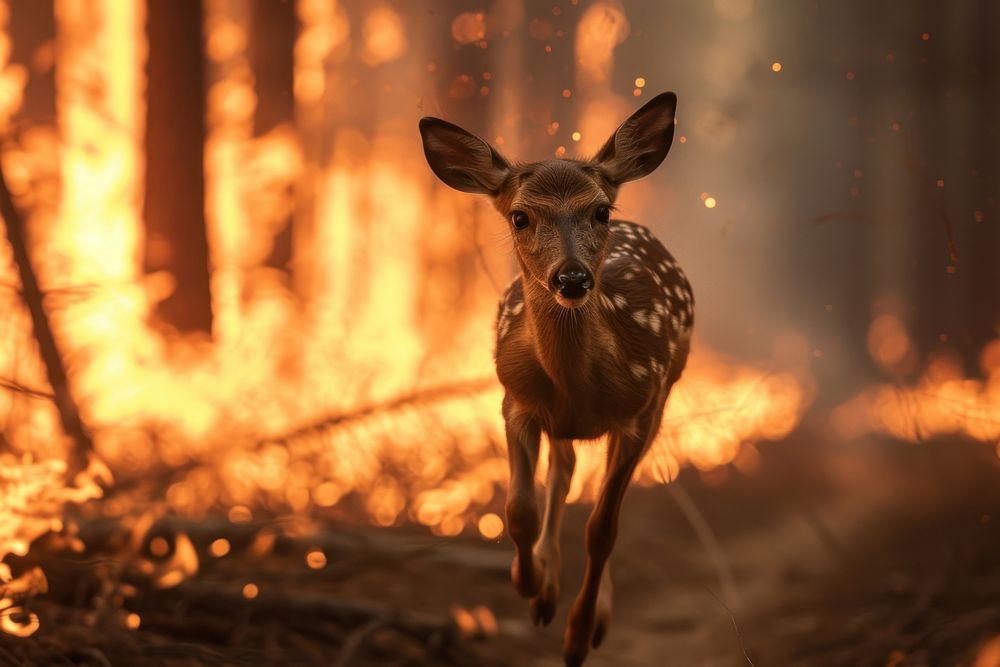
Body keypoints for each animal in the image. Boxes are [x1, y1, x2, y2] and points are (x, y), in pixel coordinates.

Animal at [419, 92, 693, 666]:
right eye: (520, 216)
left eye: (601, 210)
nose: (571, 278)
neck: (576, 385)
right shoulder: (514, 401)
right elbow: (518, 509)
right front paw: (531, 583)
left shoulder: (639, 411)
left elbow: (603, 529)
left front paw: (579, 634)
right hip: (561, 421)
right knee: (562, 470)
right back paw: (546, 590)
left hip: (663, 397)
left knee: (595, 492)